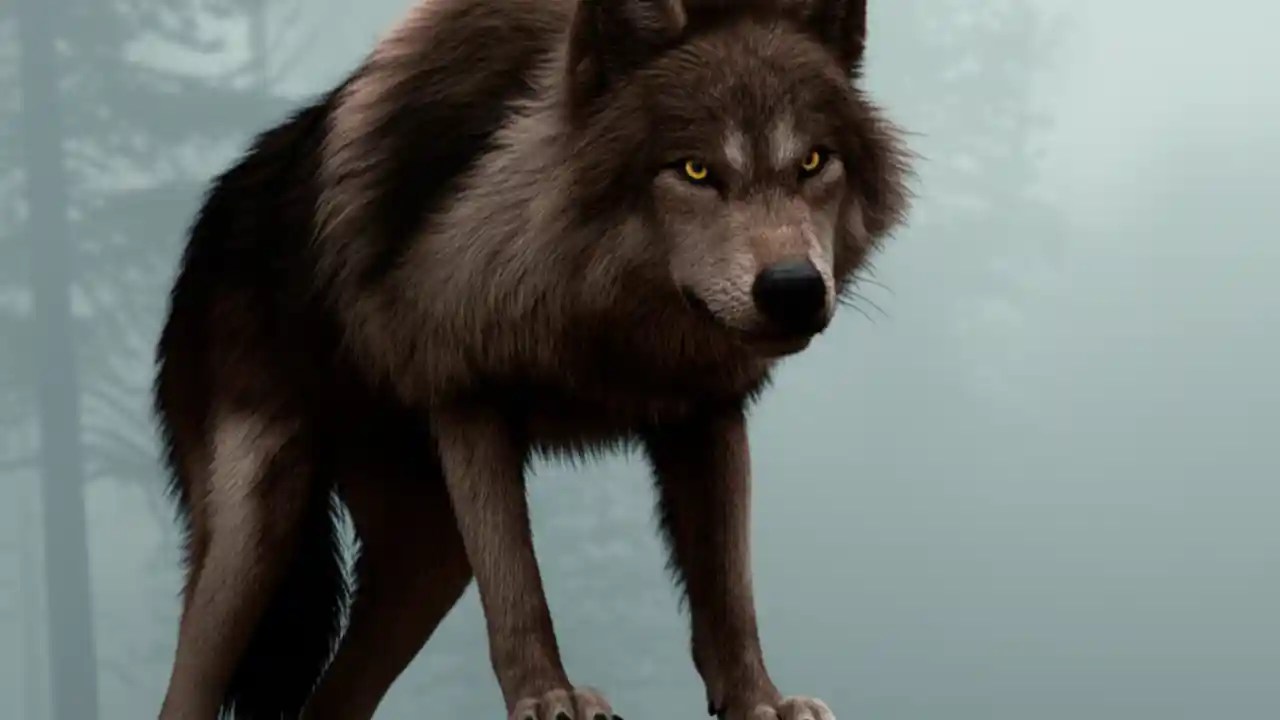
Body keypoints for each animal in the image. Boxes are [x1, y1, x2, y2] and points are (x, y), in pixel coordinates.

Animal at [152, 0, 912, 718]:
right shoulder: (466, 396)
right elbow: (518, 588)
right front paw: (550, 698)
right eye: (696, 169)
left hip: (429, 559)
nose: (793, 290)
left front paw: (760, 702)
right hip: (258, 535)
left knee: (330, 703)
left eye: (813, 161)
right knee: (186, 686)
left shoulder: (707, 412)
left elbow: (729, 596)